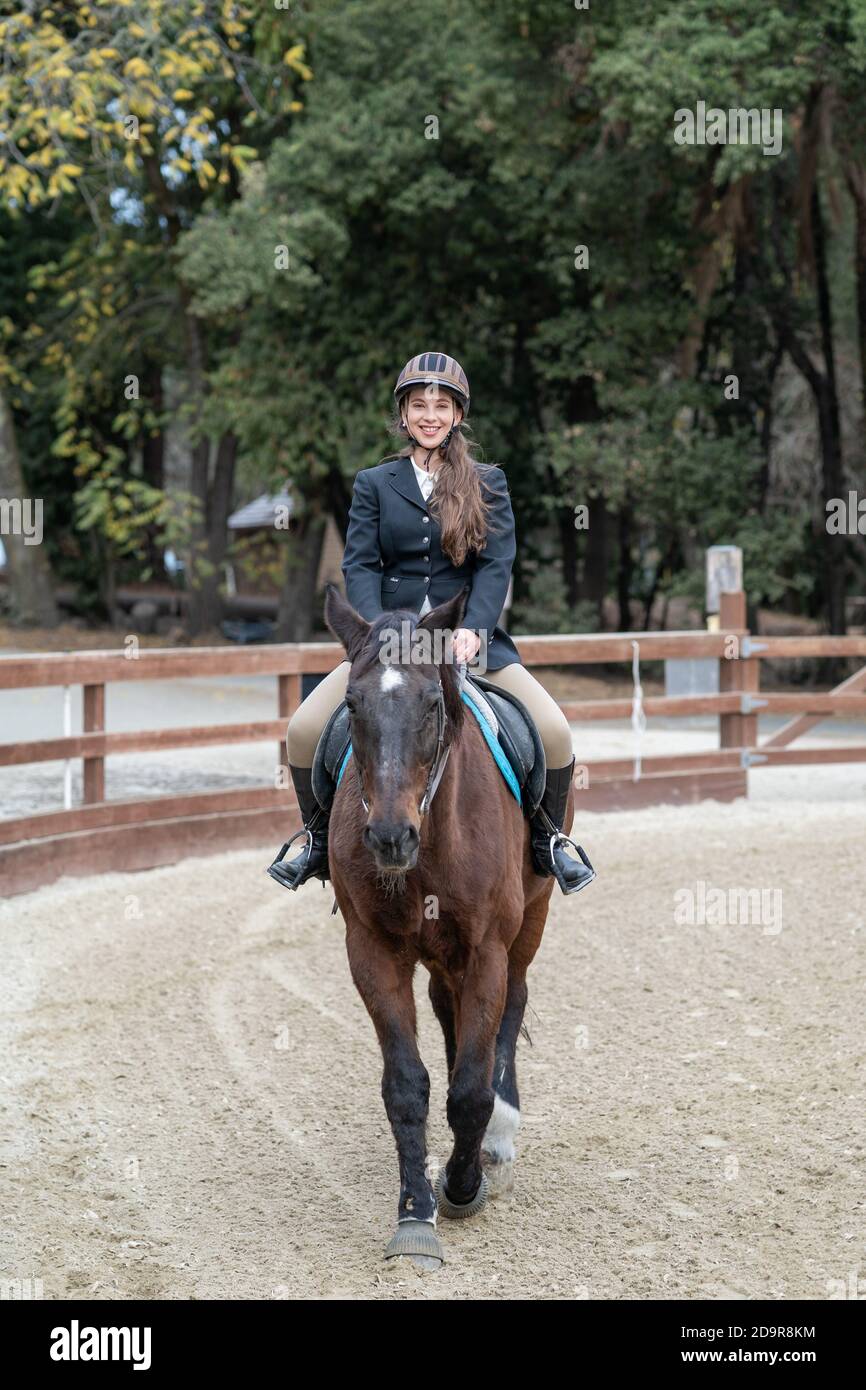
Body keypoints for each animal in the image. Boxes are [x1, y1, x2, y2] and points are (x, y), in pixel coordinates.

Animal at [323, 582, 569, 1268]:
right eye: (352, 705)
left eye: (432, 702)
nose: (390, 837)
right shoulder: (372, 950)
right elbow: (408, 1086)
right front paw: (415, 1214)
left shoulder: (487, 949)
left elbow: (471, 1091)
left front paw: (463, 1185)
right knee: (449, 1011)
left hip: (528, 924)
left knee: (512, 1006)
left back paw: (499, 1139)